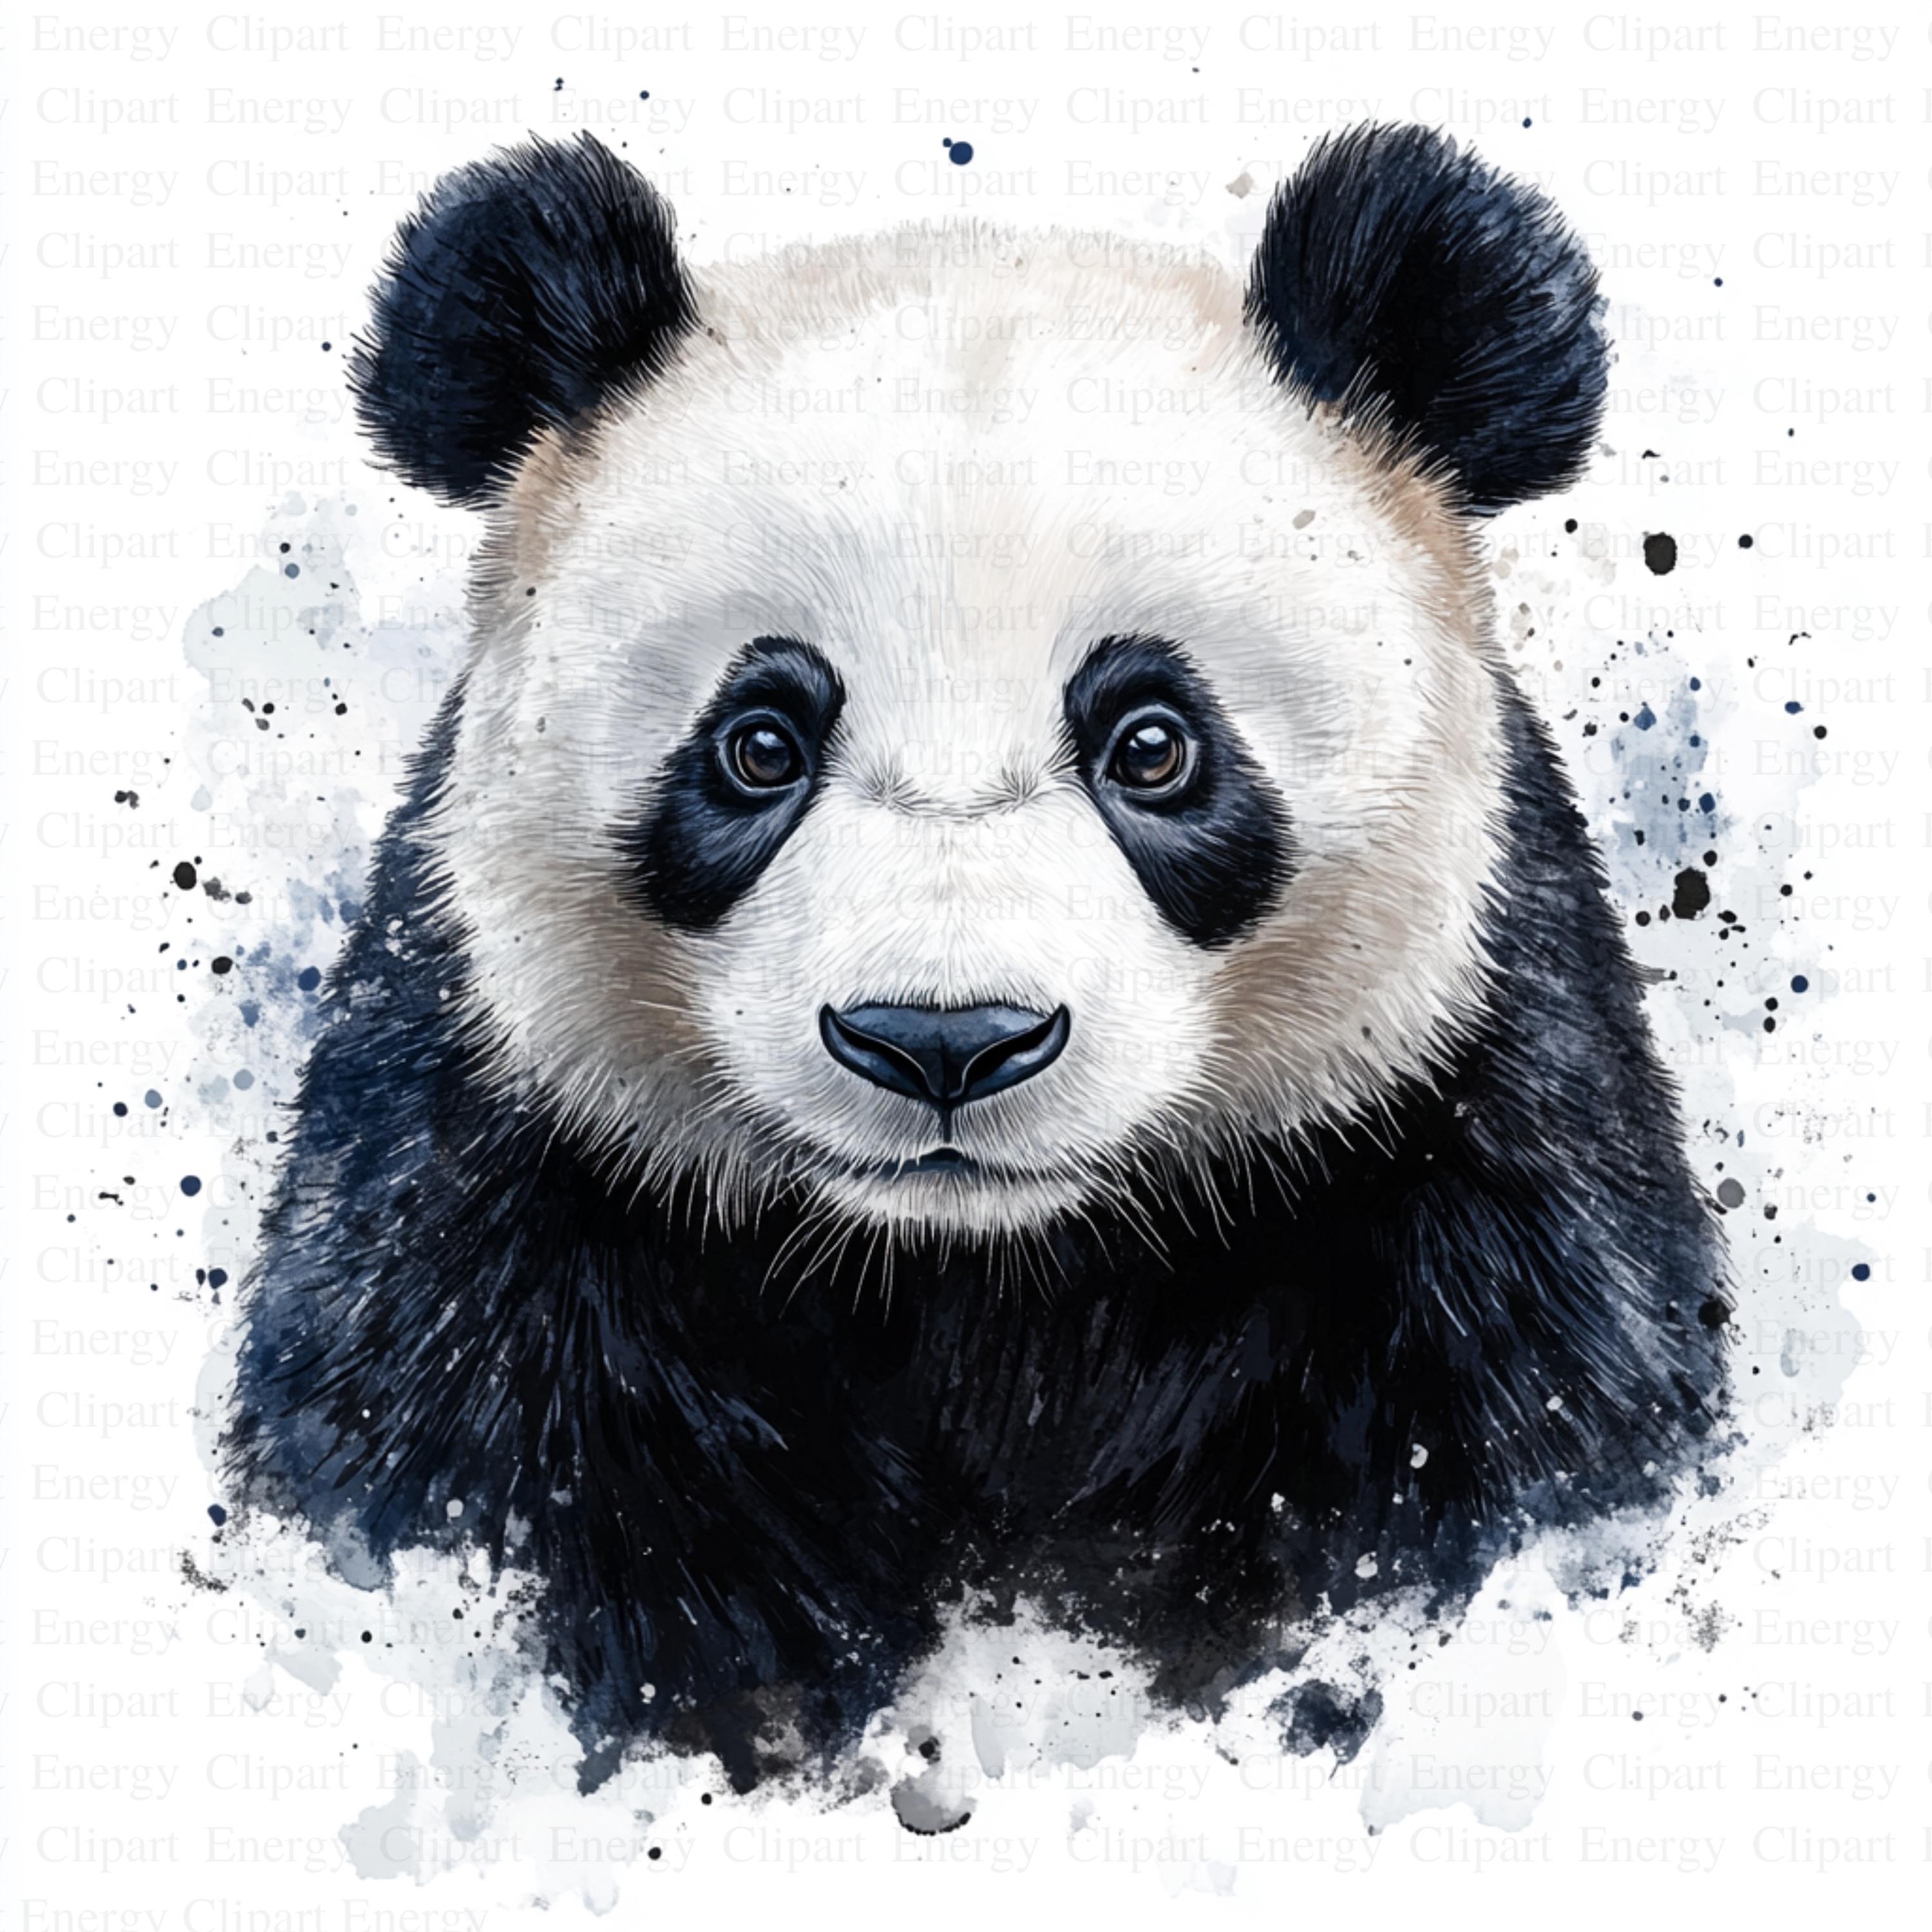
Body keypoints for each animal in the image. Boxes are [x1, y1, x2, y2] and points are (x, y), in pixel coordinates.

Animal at [226, 123, 1729, 1792]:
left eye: (1155, 743)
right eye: (758, 743)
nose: (943, 1040)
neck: (978, 1279)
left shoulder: (1454, 1185)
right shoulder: (496, 1205)